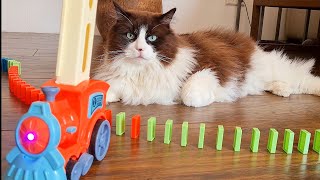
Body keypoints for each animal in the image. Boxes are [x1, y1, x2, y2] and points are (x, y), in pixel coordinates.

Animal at [92, 2, 320, 107]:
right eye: (130, 36)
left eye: (151, 38)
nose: (139, 49)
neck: (143, 72)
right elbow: (106, 91)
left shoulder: (210, 68)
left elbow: (190, 95)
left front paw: (214, 97)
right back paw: (283, 90)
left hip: (273, 69)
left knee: (305, 79)